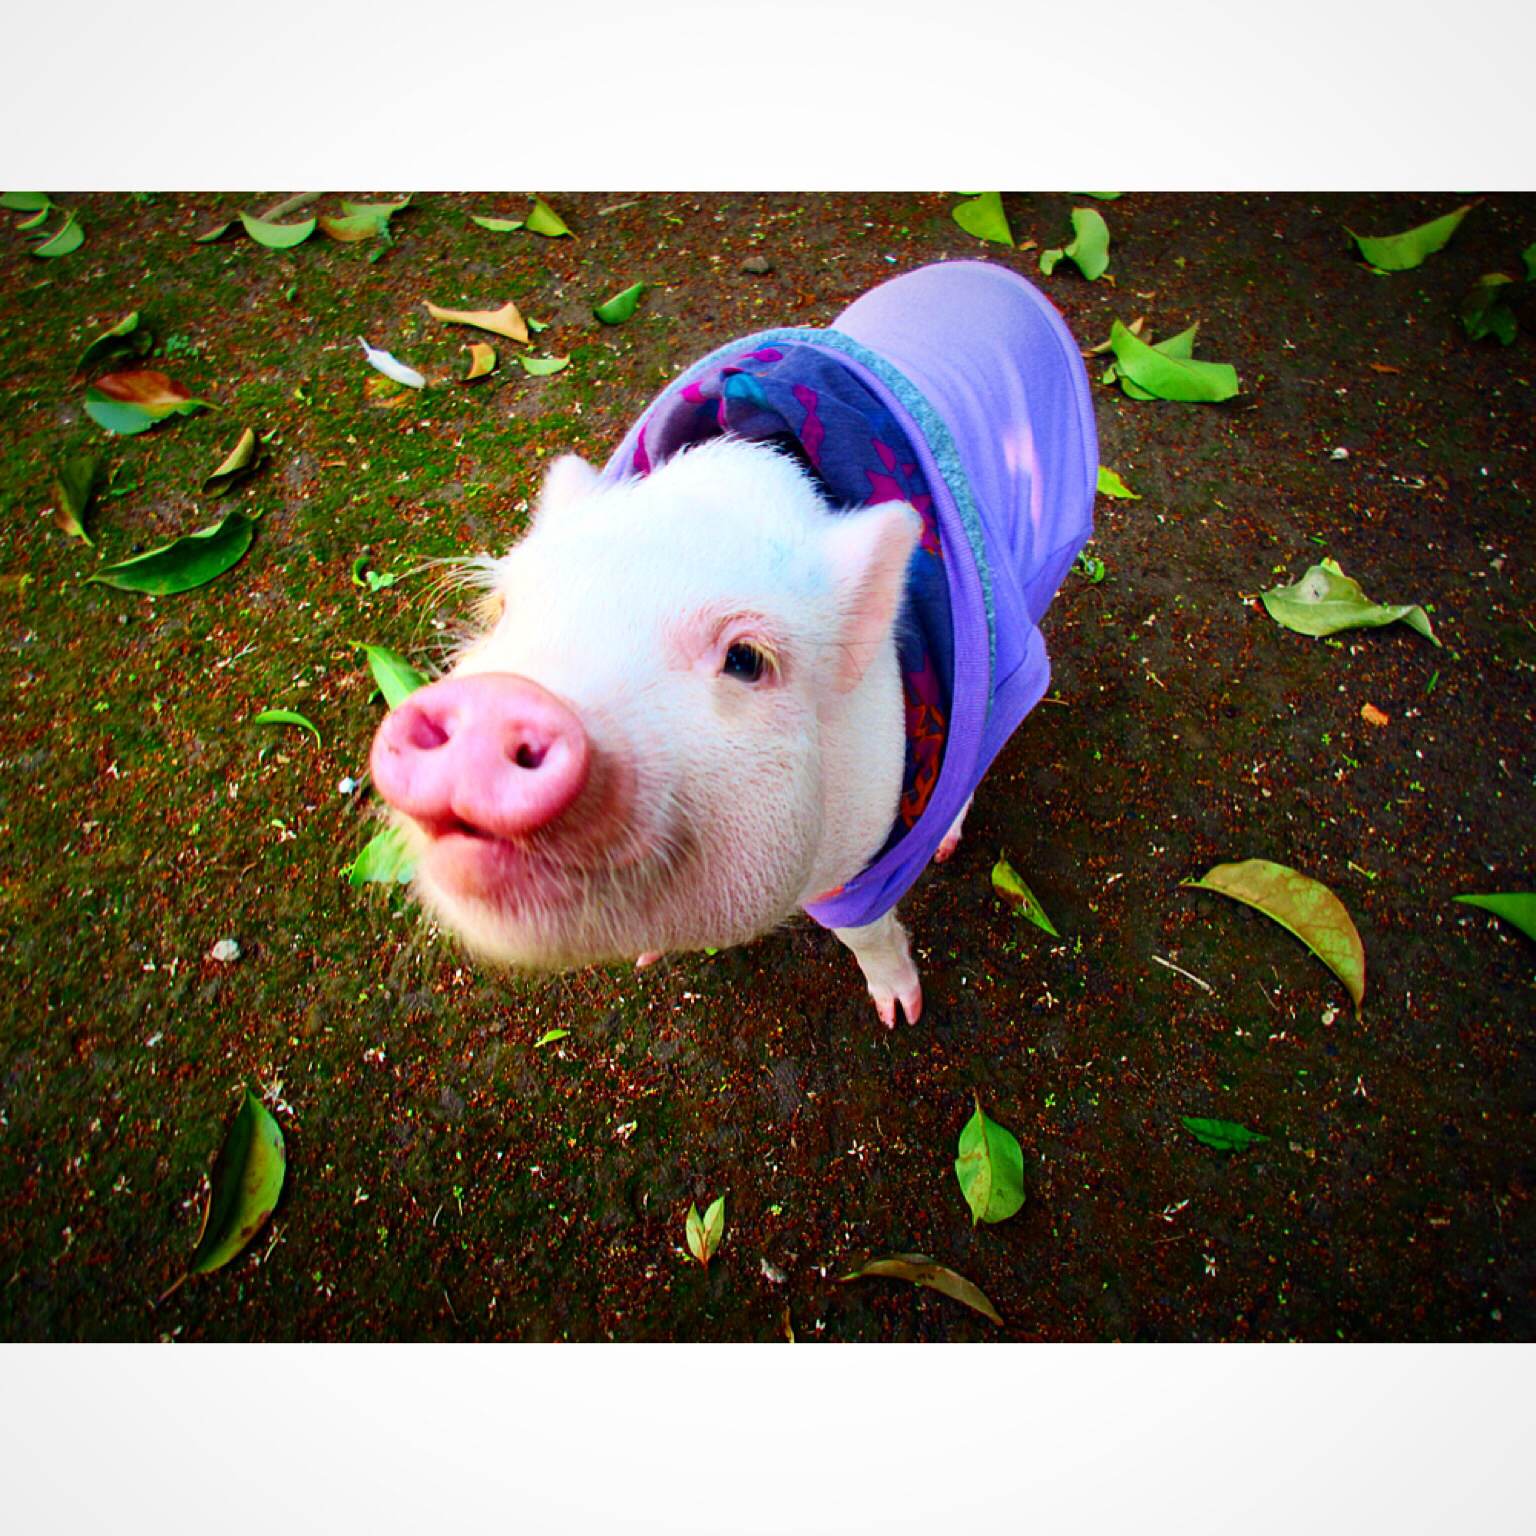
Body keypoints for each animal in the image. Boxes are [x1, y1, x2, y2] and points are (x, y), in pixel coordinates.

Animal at [369, 260, 1098, 1025]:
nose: (493, 703)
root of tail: (994, 275)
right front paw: (645, 957)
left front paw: (902, 1015)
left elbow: (866, 933)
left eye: (746, 659)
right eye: (506, 607)